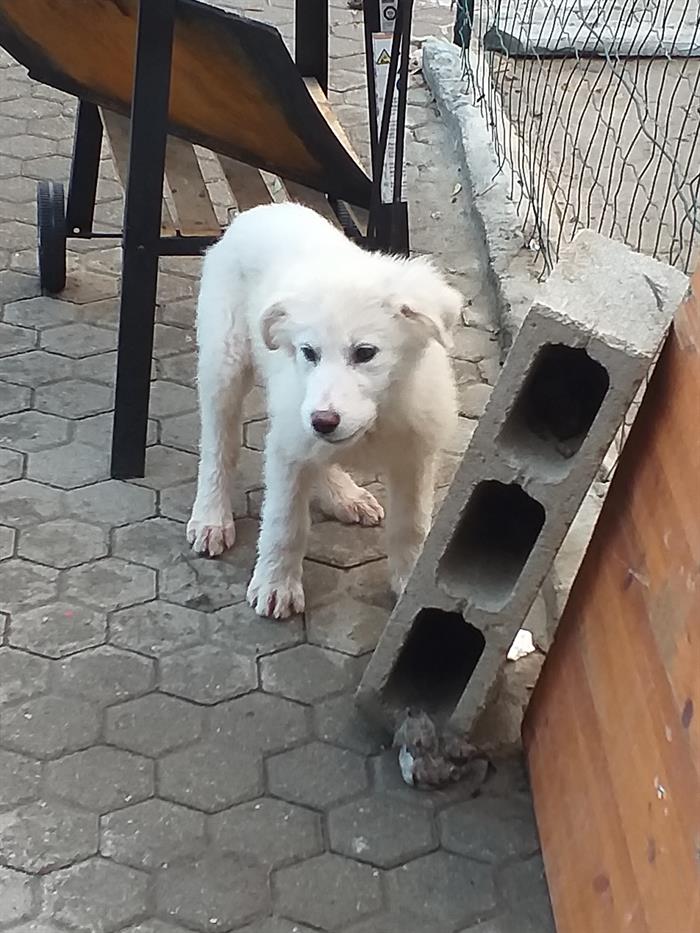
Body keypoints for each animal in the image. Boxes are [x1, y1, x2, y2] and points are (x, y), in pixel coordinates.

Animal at [187, 204, 460, 620]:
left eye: (365, 353)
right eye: (308, 353)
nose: (324, 421)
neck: (376, 418)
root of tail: (258, 211)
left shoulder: (415, 457)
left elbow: (410, 525)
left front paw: (409, 584)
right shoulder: (288, 445)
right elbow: (284, 523)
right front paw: (276, 585)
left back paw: (344, 496)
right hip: (225, 361)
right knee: (219, 446)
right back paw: (211, 517)